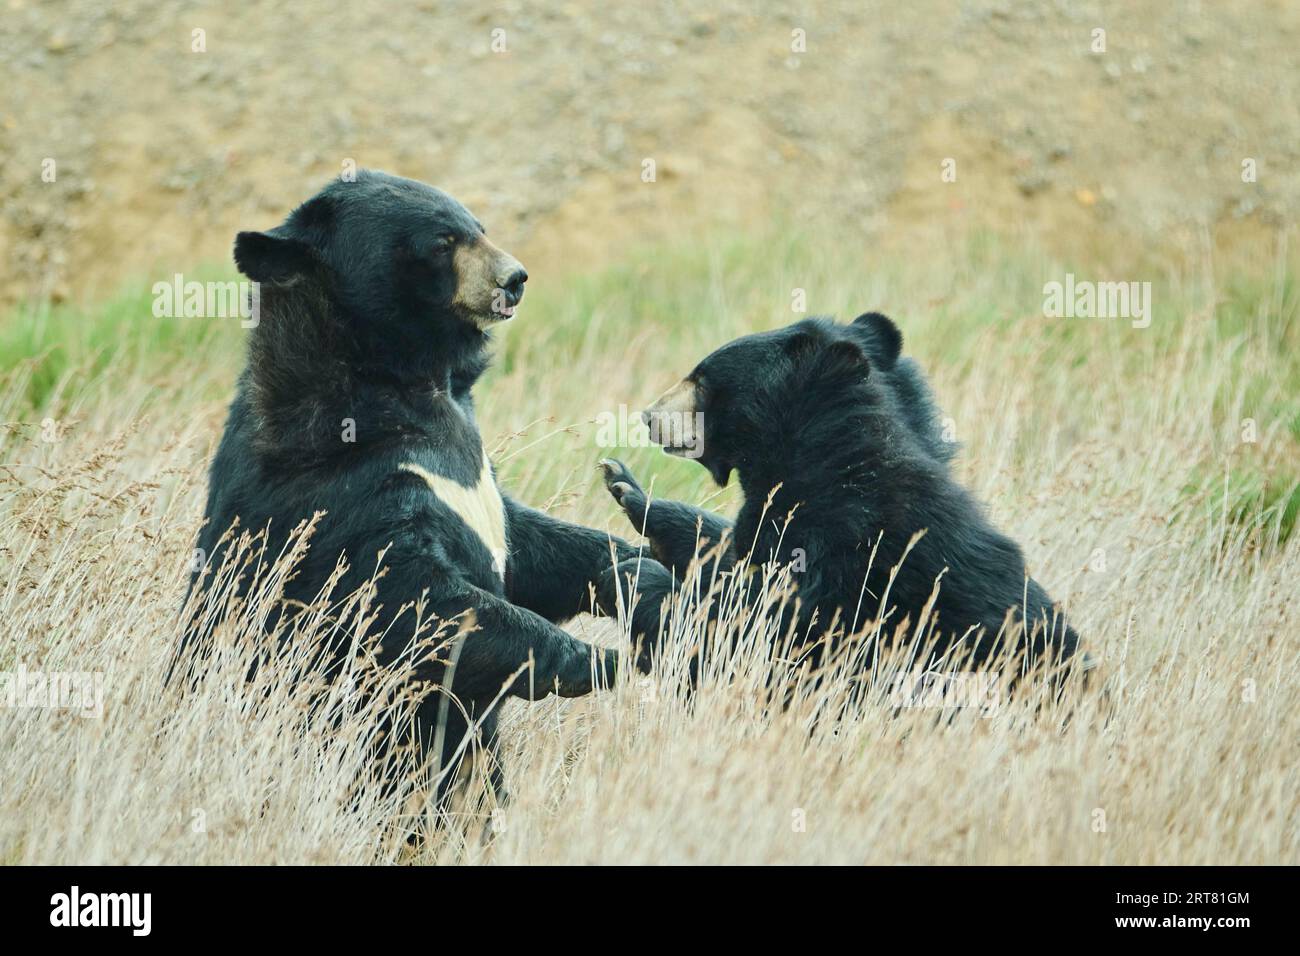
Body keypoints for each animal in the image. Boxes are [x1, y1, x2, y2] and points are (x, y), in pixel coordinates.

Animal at [180, 170, 639, 805]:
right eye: (442, 241)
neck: (402, 380)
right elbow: (415, 601)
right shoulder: (340, 493)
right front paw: (598, 658)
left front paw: (644, 570)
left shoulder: (472, 479)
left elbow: (530, 547)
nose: (514, 278)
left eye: (479, 227)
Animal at [595, 312, 1088, 696]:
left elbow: (759, 625)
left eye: (701, 379)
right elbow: (728, 552)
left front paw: (638, 577)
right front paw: (628, 489)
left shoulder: (844, 556)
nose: (648, 417)